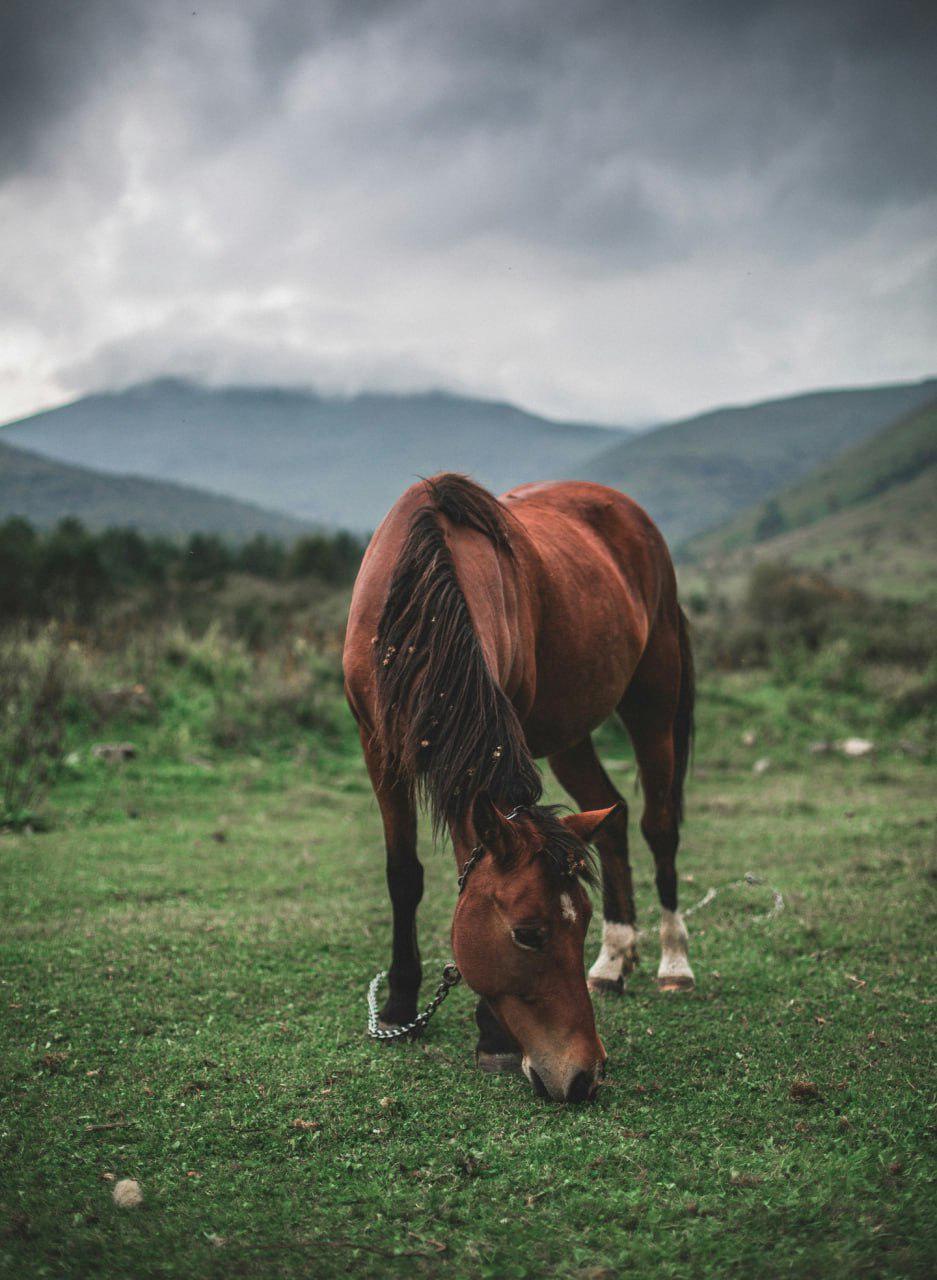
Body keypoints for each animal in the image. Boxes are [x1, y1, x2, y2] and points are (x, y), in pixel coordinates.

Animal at [343, 473, 696, 1100]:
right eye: (528, 934)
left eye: (579, 921)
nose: (584, 1076)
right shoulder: (378, 745)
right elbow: (403, 875)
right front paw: (401, 1005)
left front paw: (493, 1037)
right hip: (570, 732)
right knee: (613, 817)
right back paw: (613, 963)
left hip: (652, 704)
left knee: (659, 826)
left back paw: (674, 964)